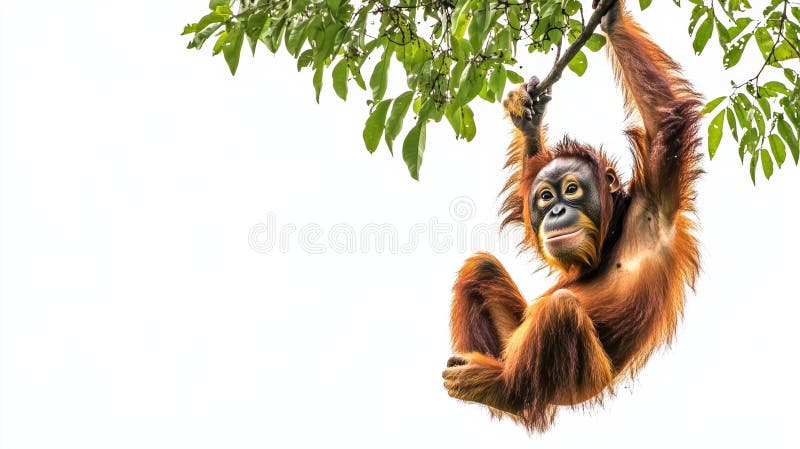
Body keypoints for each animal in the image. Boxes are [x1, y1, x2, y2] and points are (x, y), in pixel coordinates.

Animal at [442, 0, 702, 432]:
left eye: (571, 190)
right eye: (545, 197)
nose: (556, 210)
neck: (613, 233)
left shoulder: (655, 204)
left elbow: (666, 122)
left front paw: (611, 19)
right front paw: (528, 119)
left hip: (577, 384)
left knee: (559, 309)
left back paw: (503, 392)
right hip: (516, 346)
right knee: (481, 269)